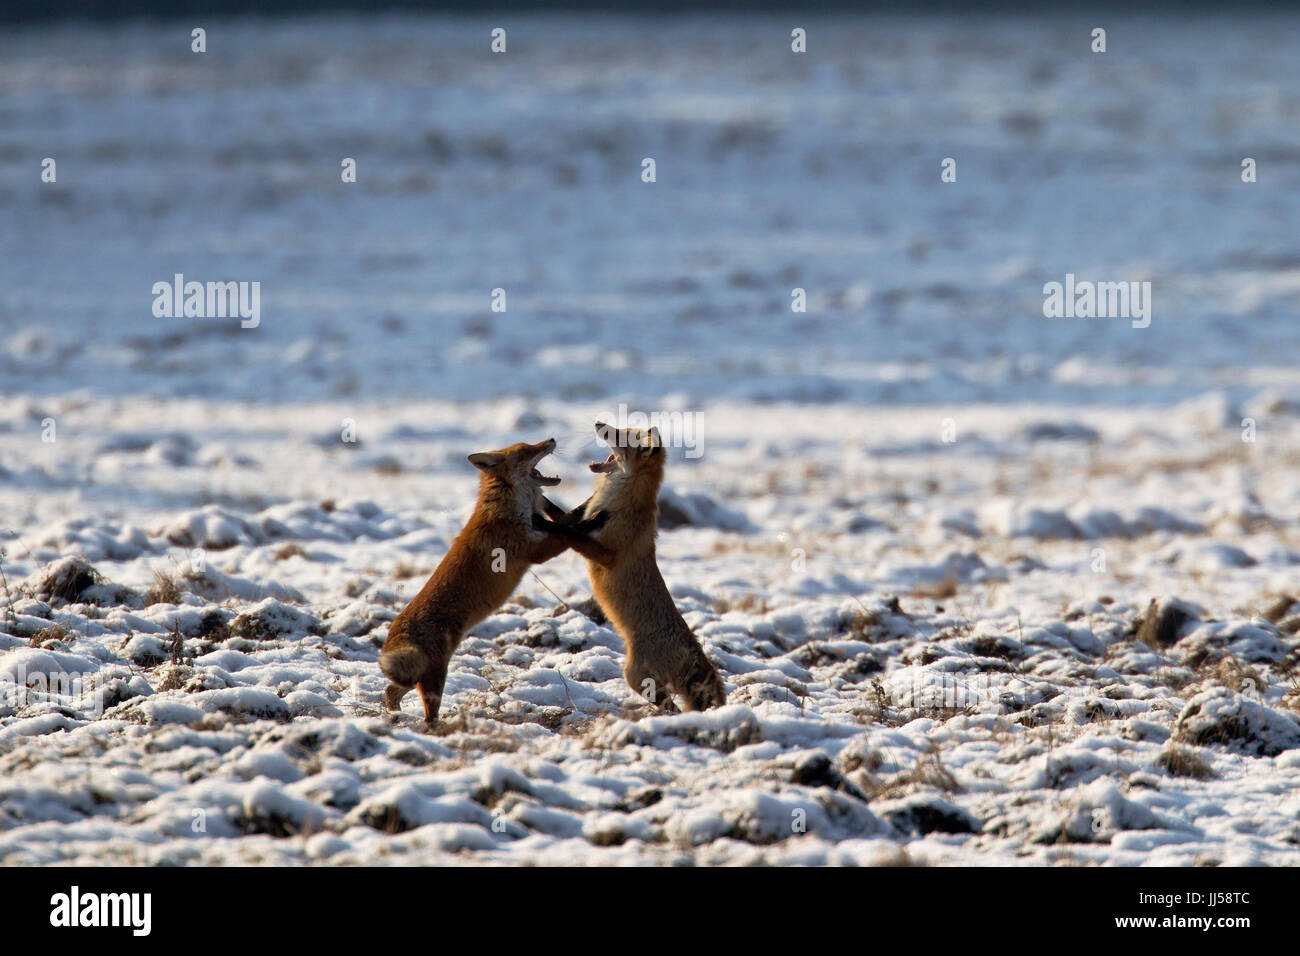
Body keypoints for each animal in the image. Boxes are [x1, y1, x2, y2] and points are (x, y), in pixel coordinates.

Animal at [379, 438, 609, 728]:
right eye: (526, 450)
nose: (551, 440)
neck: (509, 507)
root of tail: (395, 632)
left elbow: (566, 519)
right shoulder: (536, 550)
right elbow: (571, 526)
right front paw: (595, 511)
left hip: (416, 677)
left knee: (390, 690)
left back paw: (395, 716)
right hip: (435, 678)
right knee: (428, 716)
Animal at [557, 421, 727, 713]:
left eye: (618, 435)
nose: (599, 423)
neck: (619, 500)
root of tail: (691, 645)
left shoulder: (605, 554)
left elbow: (571, 534)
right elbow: (563, 516)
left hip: (635, 676)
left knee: (671, 706)